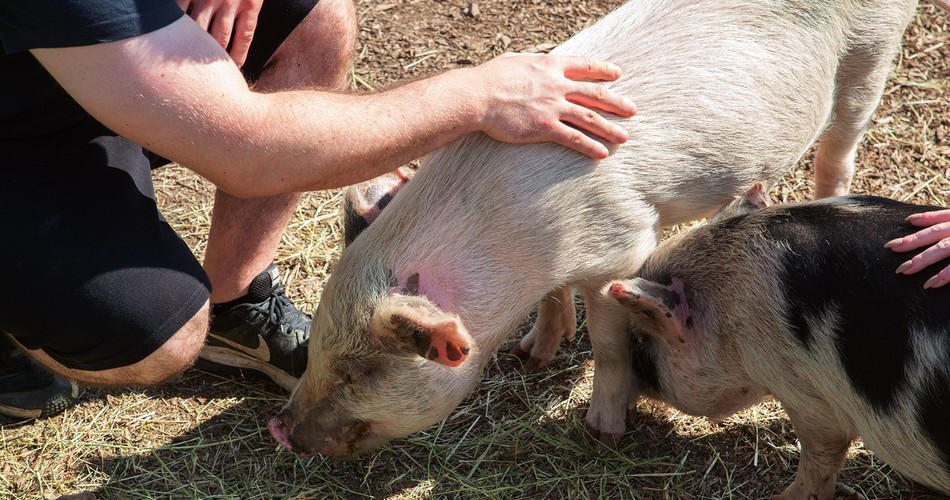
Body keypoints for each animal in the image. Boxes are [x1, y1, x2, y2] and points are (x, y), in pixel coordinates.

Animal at [269, 0, 927, 456]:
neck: (514, 247)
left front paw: (602, 432)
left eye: (360, 372)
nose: (280, 427)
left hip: (872, 51)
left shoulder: (624, 245)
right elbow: (555, 299)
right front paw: (531, 357)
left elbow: (609, 343)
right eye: (318, 345)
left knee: (841, 144)